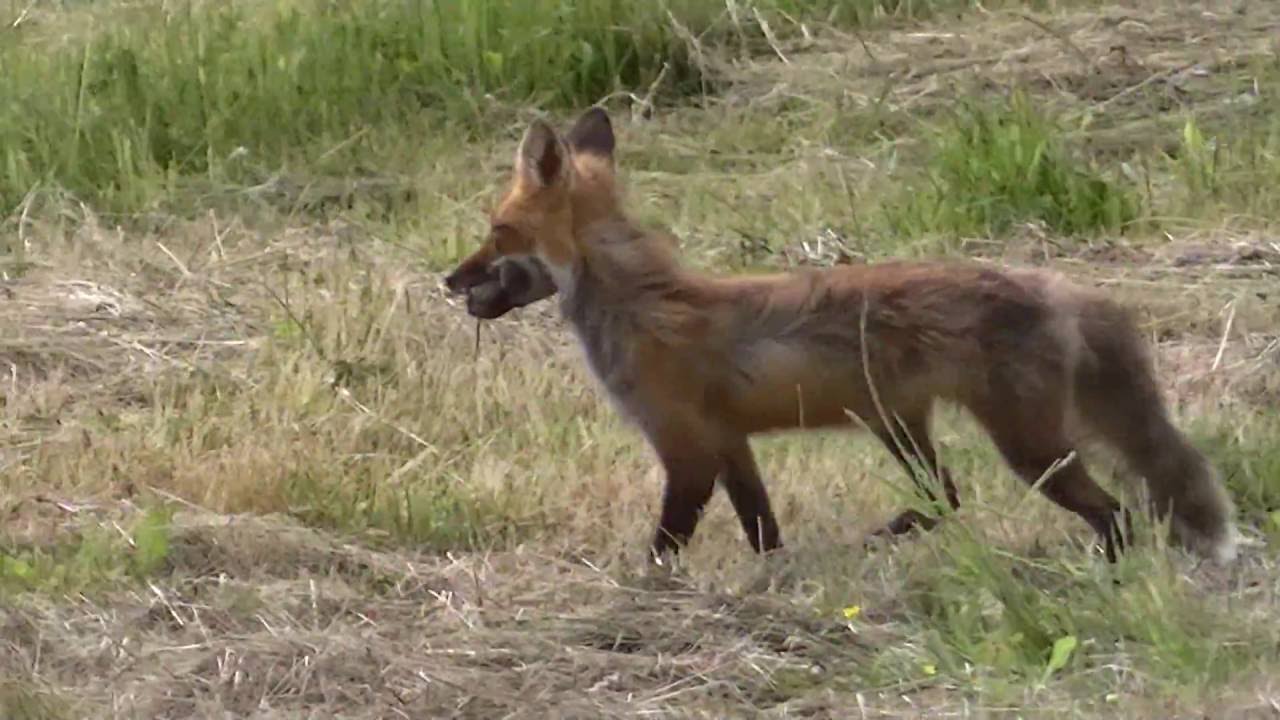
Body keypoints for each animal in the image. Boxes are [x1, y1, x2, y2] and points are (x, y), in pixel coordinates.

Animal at [443, 106, 1239, 567]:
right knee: (951, 496)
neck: (639, 304)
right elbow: (762, 529)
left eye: (497, 231)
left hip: (1027, 449)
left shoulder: (685, 448)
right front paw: (773, 585)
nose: (448, 280)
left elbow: (664, 546)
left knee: (1111, 513)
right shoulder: (730, 443)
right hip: (905, 429)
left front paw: (642, 597)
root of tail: (1056, 286)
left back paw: (1107, 572)